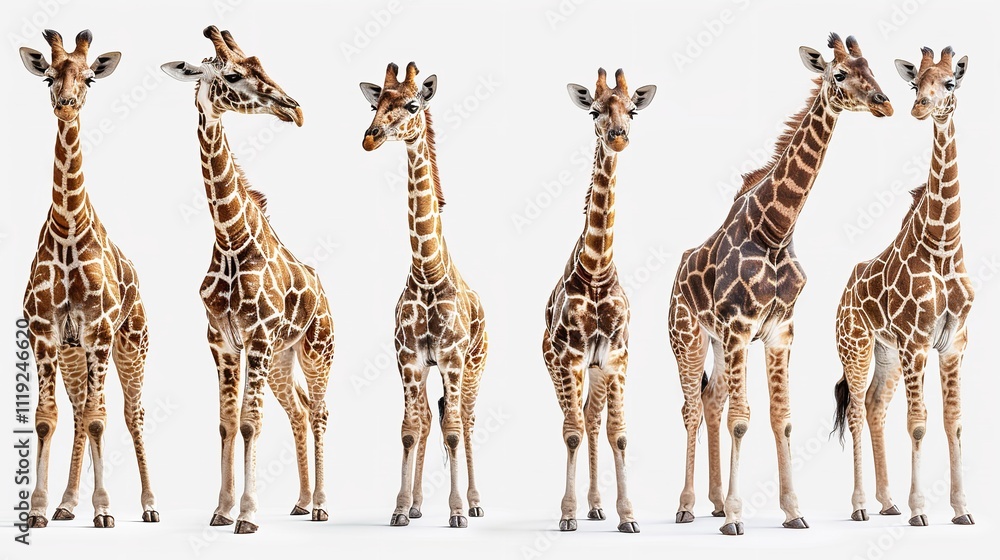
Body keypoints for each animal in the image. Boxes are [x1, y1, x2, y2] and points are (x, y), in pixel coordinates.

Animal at [18, 29, 158, 529]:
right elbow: (46, 417)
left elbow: (102, 418)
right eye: (48, 76)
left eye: (90, 79)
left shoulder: (98, 329)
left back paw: (149, 505)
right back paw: (65, 504)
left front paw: (104, 510)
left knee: (131, 412)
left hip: (132, 343)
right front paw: (39, 510)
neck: (67, 227)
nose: (66, 102)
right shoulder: (43, 331)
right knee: (79, 410)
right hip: (73, 352)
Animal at [161, 26, 334, 534]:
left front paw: (249, 515)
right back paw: (300, 502)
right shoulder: (221, 340)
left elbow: (250, 423)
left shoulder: (254, 338)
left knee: (319, 410)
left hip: (317, 350)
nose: (294, 108)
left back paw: (321, 505)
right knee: (299, 408)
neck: (230, 238)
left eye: (263, 65)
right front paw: (221, 510)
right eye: (234, 74)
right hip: (281, 359)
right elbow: (225, 423)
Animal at [359, 62, 488, 529]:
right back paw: (417, 505)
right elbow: (410, 429)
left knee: (465, 420)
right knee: (431, 418)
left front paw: (457, 512)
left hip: (474, 365)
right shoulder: (410, 358)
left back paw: (475, 502)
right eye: (376, 104)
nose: (371, 136)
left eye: (413, 105)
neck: (428, 272)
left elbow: (452, 431)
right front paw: (400, 508)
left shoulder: (451, 357)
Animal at [669, 33, 893, 536]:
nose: (885, 103)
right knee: (691, 408)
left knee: (710, 401)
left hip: (717, 342)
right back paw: (687, 505)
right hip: (689, 337)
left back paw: (713, 502)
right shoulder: (738, 328)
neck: (774, 230)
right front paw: (737, 518)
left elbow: (781, 417)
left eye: (872, 68)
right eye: (839, 74)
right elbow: (742, 419)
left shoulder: (778, 331)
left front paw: (792, 511)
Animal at [832, 46, 973, 527]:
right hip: (856, 347)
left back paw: (886, 501)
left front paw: (962, 510)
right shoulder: (916, 341)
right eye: (915, 83)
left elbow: (953, 421)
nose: (920, 108)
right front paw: (920, 511)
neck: (943, 244)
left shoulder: (953, 342)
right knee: (858, 409)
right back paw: (860, 505)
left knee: (876, 406)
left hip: (887, 353)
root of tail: (842, 297)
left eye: (950, 82)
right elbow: (918, 422)